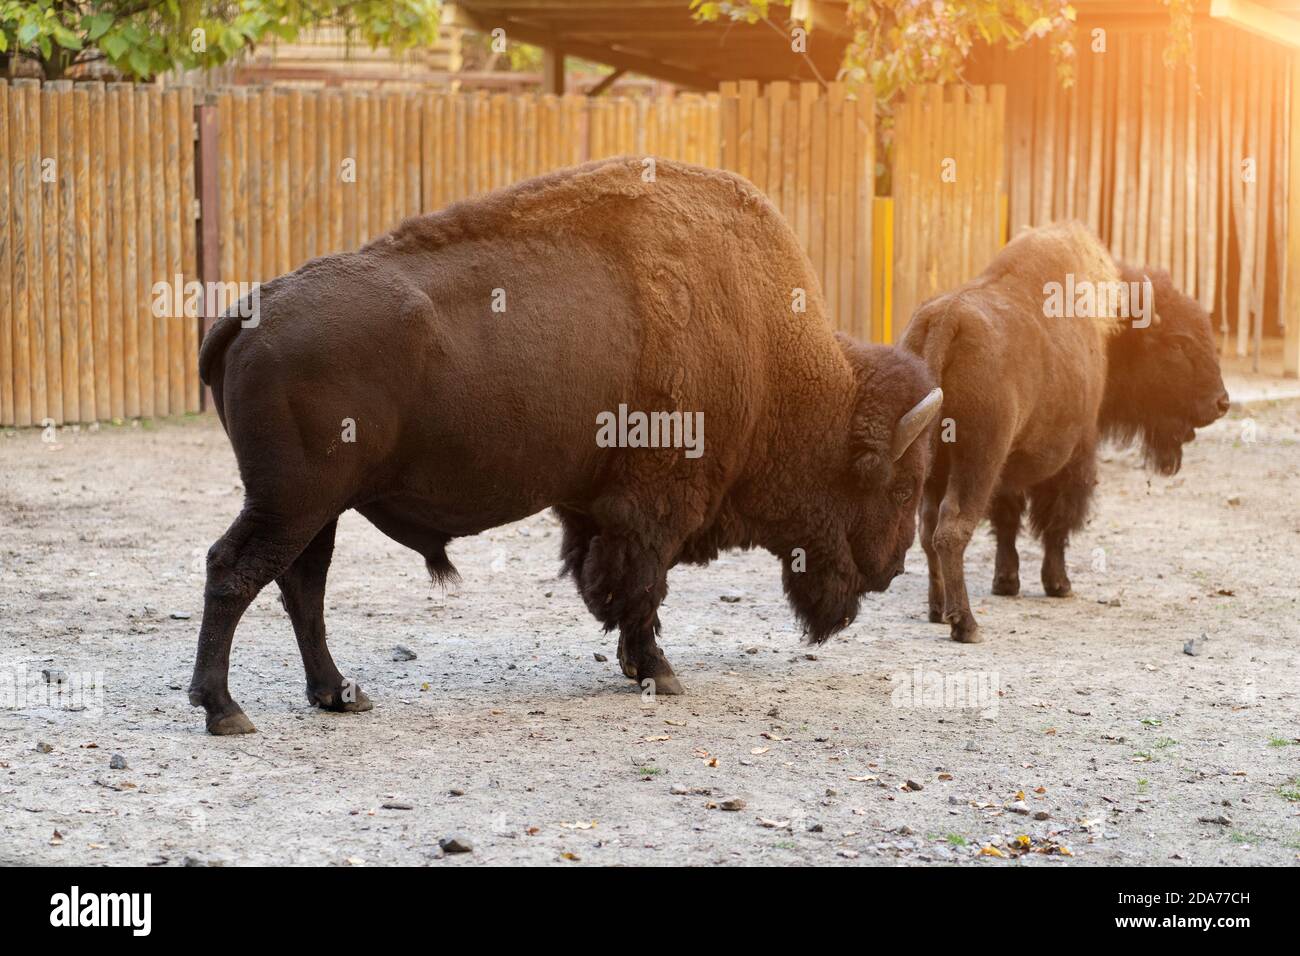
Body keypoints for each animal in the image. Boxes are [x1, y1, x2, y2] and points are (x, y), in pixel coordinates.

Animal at [190, 157, 943, 734]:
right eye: (901, 485)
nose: (892, 569)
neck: (770, 350)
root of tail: (250, 311)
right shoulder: (655, 507)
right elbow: (642, 583)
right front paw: (659, 671)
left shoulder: (597, 507)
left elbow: (615, 581)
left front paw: (640, 664)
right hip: (293, 502)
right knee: (235, 569)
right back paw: (225, 710)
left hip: (317, 509)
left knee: (301, 584)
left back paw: (338, 694)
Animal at [901, 221, 1228, 644]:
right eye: (1178, 343)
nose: (1221, 402)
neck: (1111, 328)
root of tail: (946, 320)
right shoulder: (1075, 455)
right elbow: (1058, 521)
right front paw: (1059, 585)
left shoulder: (1010, 469)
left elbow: (1008, 521)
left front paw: (1006, 583)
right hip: (977, 459)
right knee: (951, 529)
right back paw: (967, 625)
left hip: (934, 463)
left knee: (927, 531)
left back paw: (938, 611)